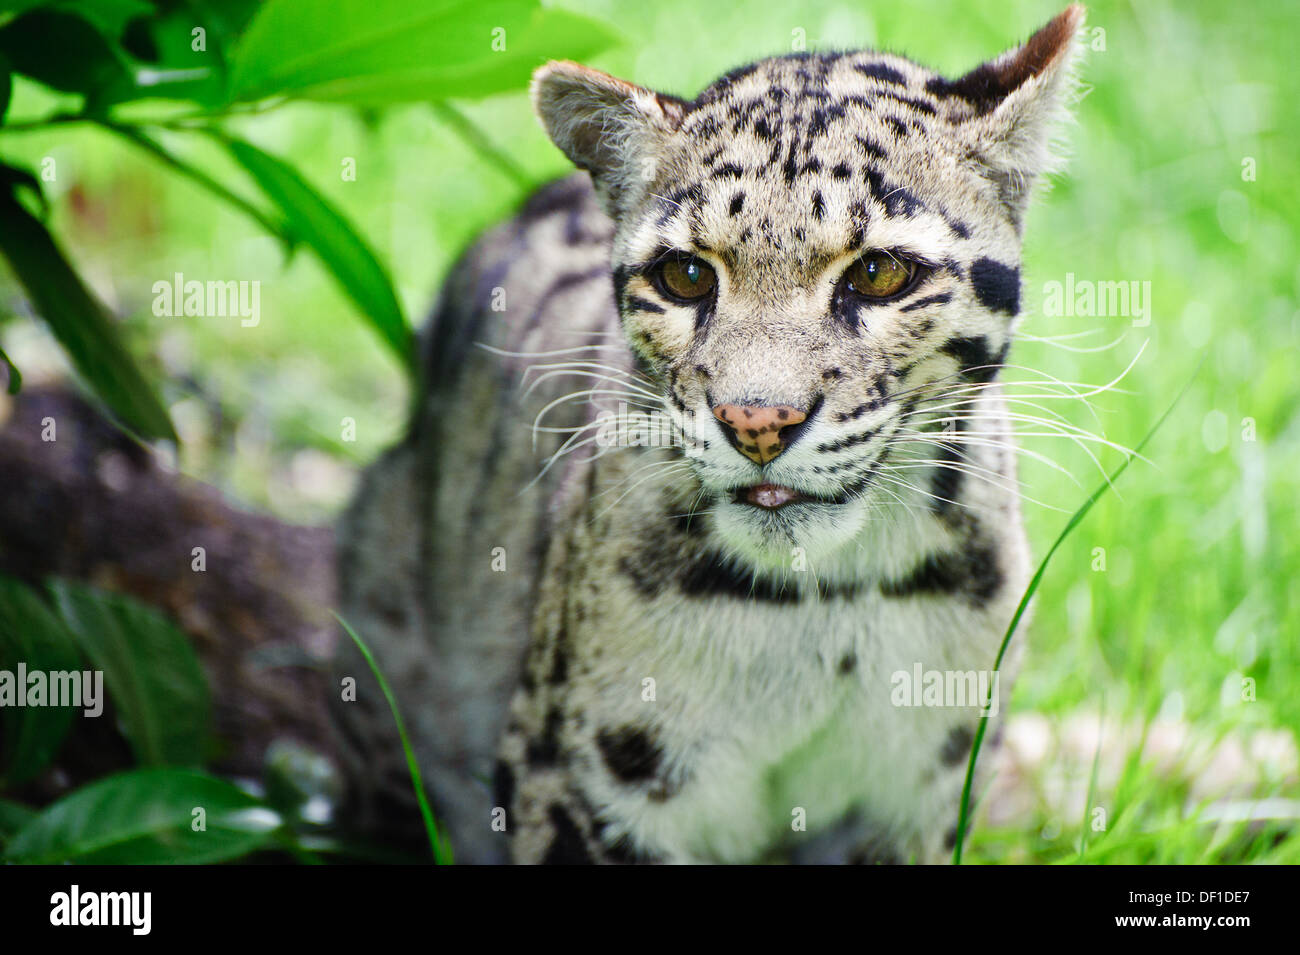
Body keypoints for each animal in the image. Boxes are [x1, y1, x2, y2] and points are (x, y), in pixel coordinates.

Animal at [331, 5, 1087, 864]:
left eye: (880, 273)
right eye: (686, 275)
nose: (757, 421)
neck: (826, 602)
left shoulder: (918, 794)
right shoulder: (587, 776)